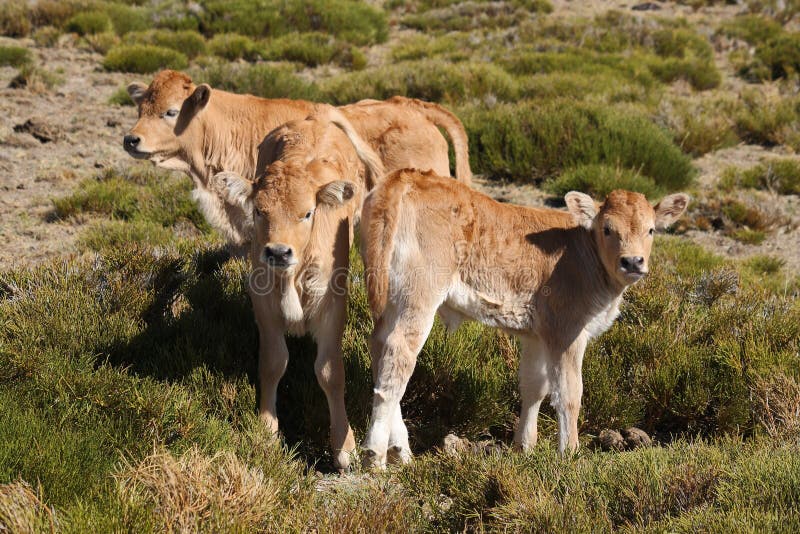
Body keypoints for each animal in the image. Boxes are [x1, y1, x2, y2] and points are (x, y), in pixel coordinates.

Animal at [213, 105, 384, 471]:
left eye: (307, 213)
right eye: (259, 211)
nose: (278, 252)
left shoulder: (333, 306)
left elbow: (330, 372)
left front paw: (344, 445)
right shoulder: (262, 301)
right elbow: (273, 362)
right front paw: (267, 430)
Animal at [359, 169, 689, 468]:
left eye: (651, 230)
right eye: (607, 229)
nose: (632, 261)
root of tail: (406, 176)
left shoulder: (537, 334)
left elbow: (534, 387)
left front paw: (524, 448)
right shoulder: (567, 330)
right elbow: (569, 392)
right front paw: (570, 453)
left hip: (391, 297)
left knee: (380, 348)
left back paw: (401, 451)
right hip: (420, 294)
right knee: (399, 355)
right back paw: (375, 454)